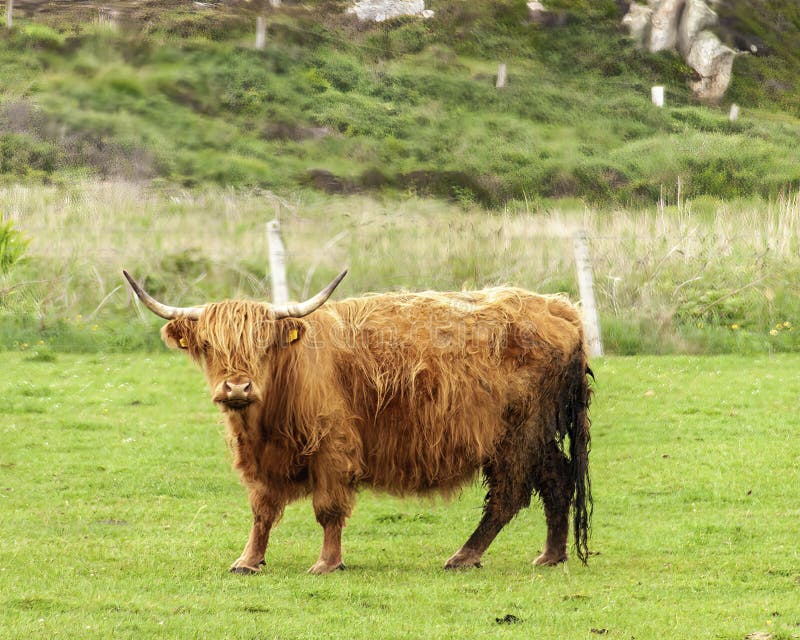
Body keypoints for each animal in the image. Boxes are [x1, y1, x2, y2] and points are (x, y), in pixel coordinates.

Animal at [123, 269, 592, 574]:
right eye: (208, 346)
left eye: (263, 344)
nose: (237, 387)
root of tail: (560, 307)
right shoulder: (259, 458)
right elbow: (262, 509)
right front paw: (249, 560)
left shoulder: (333, 444)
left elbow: (328, 508)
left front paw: (327, 563)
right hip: (538, 433)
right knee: (557, 479)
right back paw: (551, 555)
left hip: (517, 433)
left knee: (509, 495)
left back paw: (465, 556)